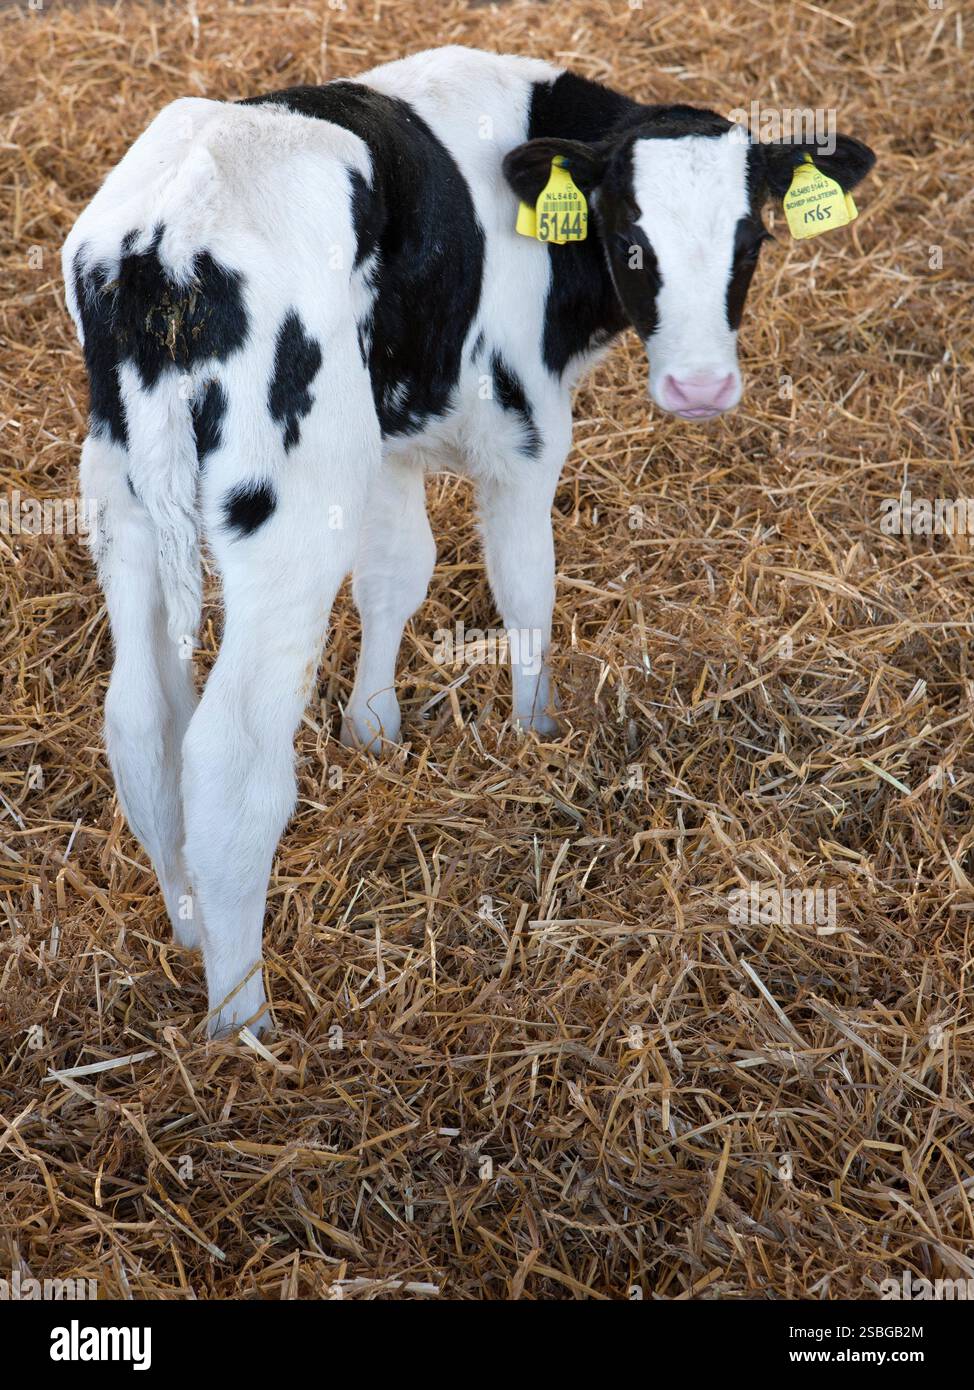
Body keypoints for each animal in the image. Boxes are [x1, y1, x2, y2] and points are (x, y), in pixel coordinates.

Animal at [62, 45, 875, 1035]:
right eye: (632, 242)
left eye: (749, 242)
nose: (700, 388)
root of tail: (166, 241)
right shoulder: (525, 429)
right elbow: (524, 583)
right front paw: (537, 728)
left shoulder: (388, 436)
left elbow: (397, 575)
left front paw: (374, 726)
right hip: (289, 510)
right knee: (230, 754)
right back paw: (242, 1018)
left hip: (126, 497)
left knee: (140, 725)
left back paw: (188, 928)